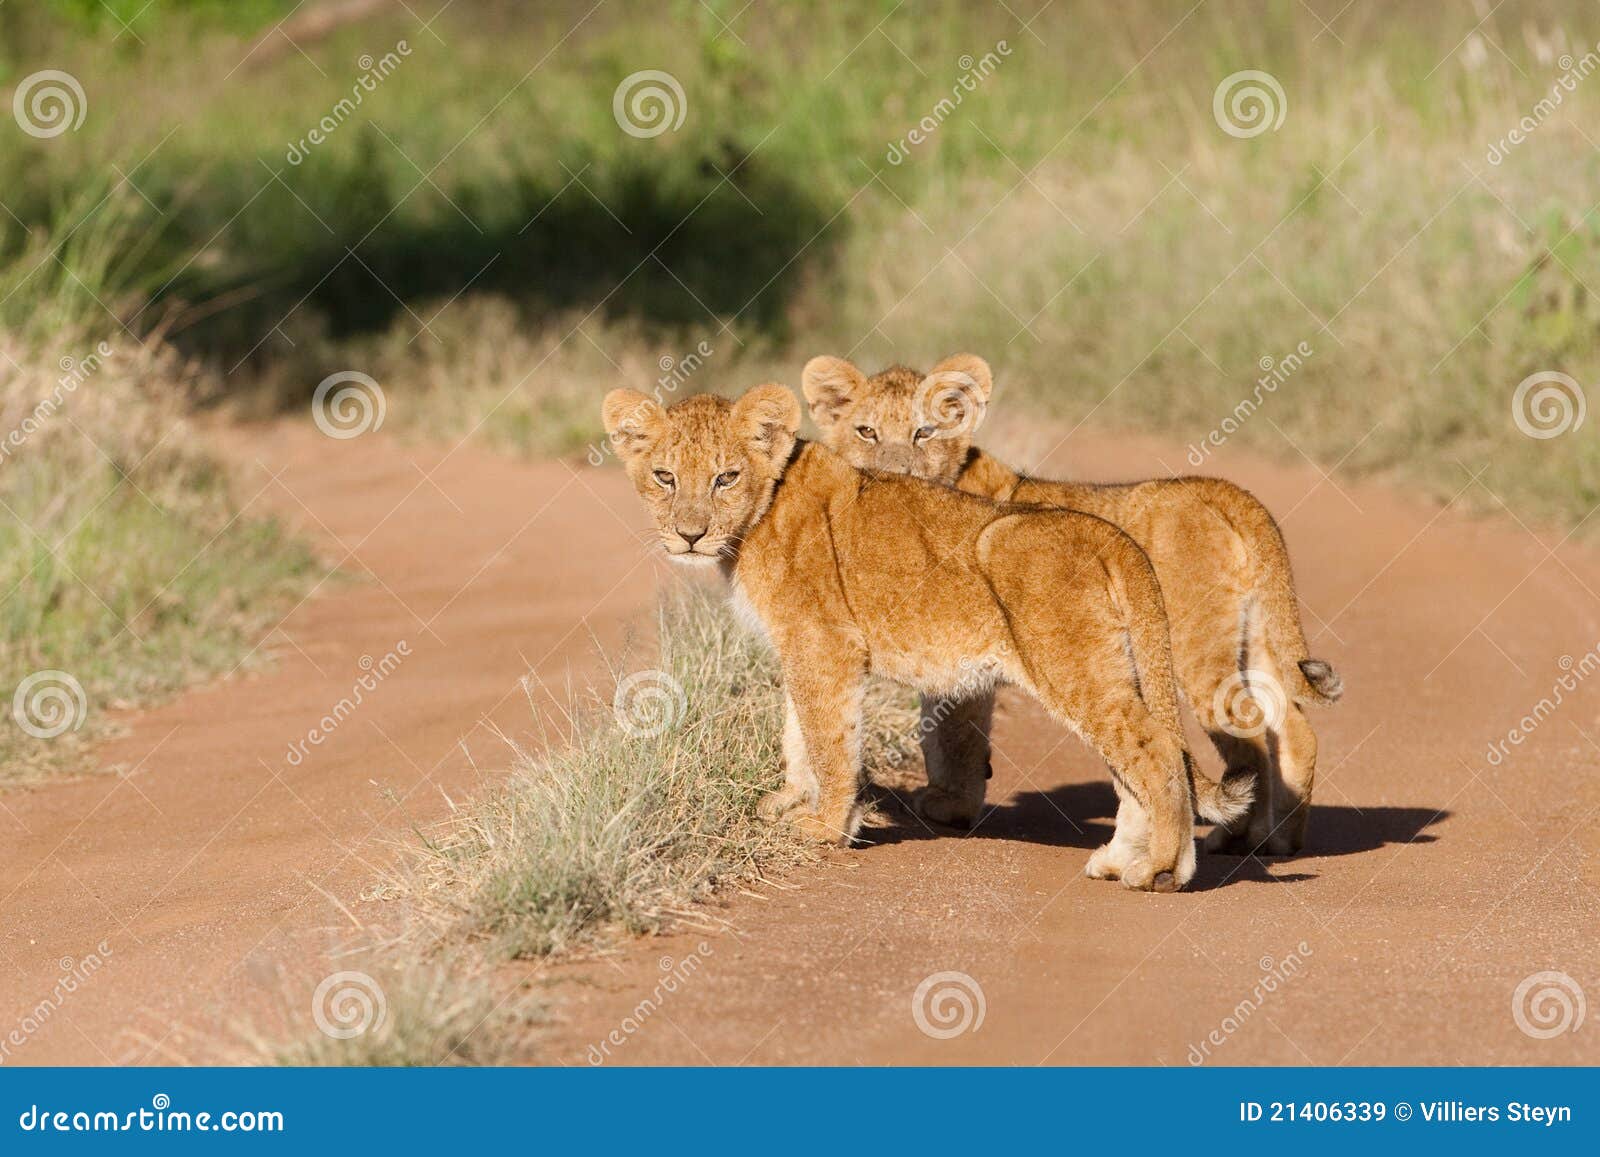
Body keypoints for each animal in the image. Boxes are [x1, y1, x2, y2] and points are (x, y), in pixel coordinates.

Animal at [602, 383, 1253, 892]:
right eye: (664, 477)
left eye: (726, 478)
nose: (689, 535)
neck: (756, 518)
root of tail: (1115, 540)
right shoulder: (799, 646)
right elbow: (796, 733)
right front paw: (790, 802)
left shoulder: (825, 643)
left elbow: (828, 740)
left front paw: (826, 826)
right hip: (1116, 668)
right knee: (1132, 763)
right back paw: (1120, 861)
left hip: (1073, 669)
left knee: (1158, 750)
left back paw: (1161, 871)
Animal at [801, 354, 1342, 856]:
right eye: (866, 431)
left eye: (924, 432)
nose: (889, 471)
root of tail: (1222, 491)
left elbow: (955, 728)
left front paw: (951, 805)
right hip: (1258, 637)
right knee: (1294, 724)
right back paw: (1282, 840)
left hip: (1196, 649)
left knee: (1248, 727)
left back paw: (1235, 836)